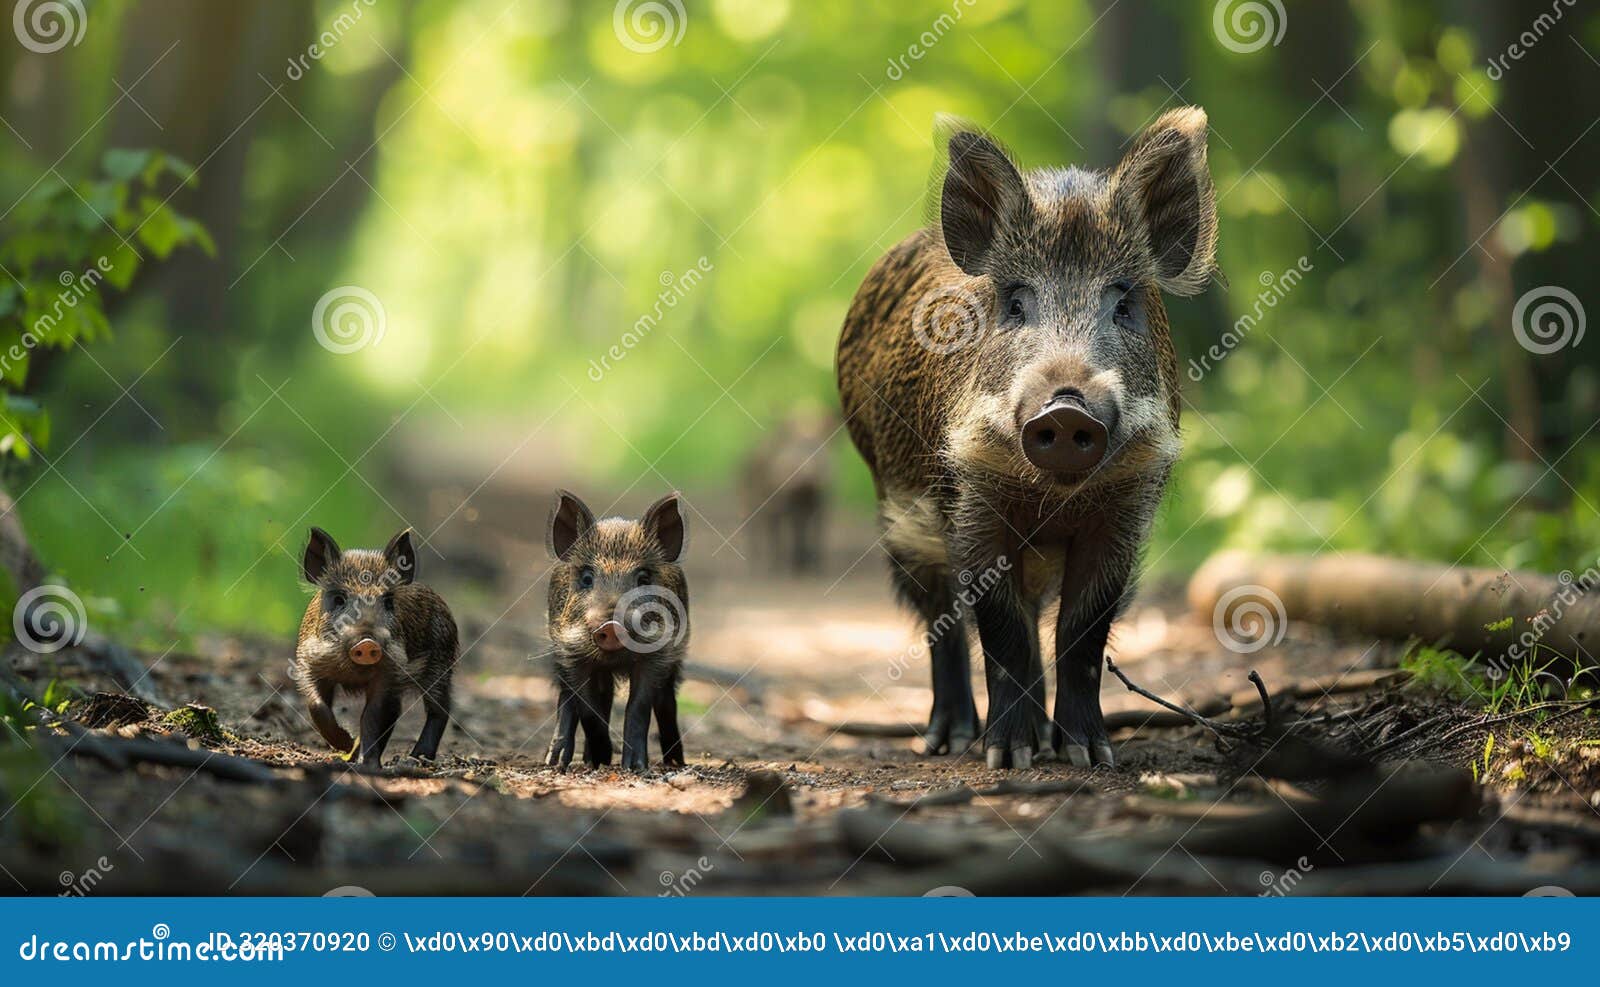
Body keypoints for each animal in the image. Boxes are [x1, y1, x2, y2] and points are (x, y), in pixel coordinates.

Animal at [294, 527, 459, 765]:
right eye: (339, 599)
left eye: (388, 601)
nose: (367, 642)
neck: (353, 673)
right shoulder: (309, 665)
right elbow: (317, 706)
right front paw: (347, 746)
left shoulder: (389, 675)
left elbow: (371, 716)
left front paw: (367, 764)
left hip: (441, 663)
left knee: (439, 709)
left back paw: (417, 757)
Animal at [544, 491, 689, 774]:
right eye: (587, 578)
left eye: (643, 579)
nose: (611, 625)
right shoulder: (572, 655)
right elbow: (587, 708)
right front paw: (601, 759)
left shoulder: (657, 656)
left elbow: (638, 706)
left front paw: (636, 767)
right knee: (572, 699)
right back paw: (558, 762)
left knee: (666, 701)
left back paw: (676, 761)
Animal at [835, 108, 1218, 769]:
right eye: (1016, 302)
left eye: (1123, 302)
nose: (1065, 409)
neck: (1053, 498)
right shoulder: (969, 505)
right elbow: (1001, 630)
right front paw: (1006, 757)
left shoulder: (1125, 510)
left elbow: (1081, 632)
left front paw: (1088, 755)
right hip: (899, 518)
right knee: (940, 623)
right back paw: (951, 741)